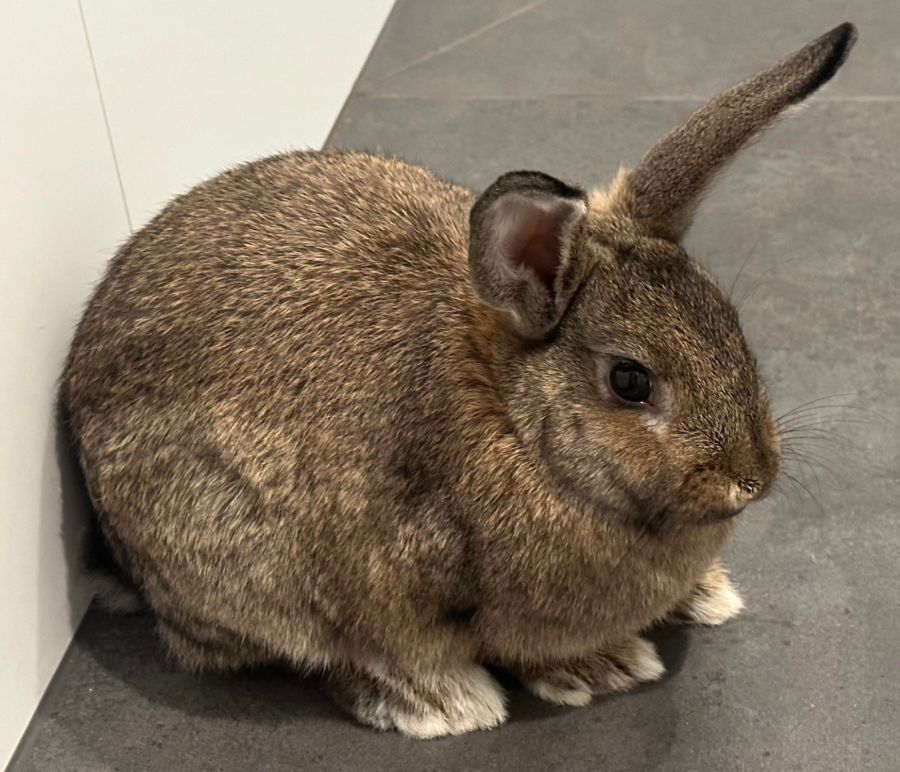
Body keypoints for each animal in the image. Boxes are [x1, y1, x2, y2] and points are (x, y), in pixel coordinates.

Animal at [61, 23, 856, 737]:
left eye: (732, 324)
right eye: (630, 381)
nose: (751, 479)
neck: (514, 420)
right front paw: (599, 669)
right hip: (238, 558)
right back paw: (439, 705)